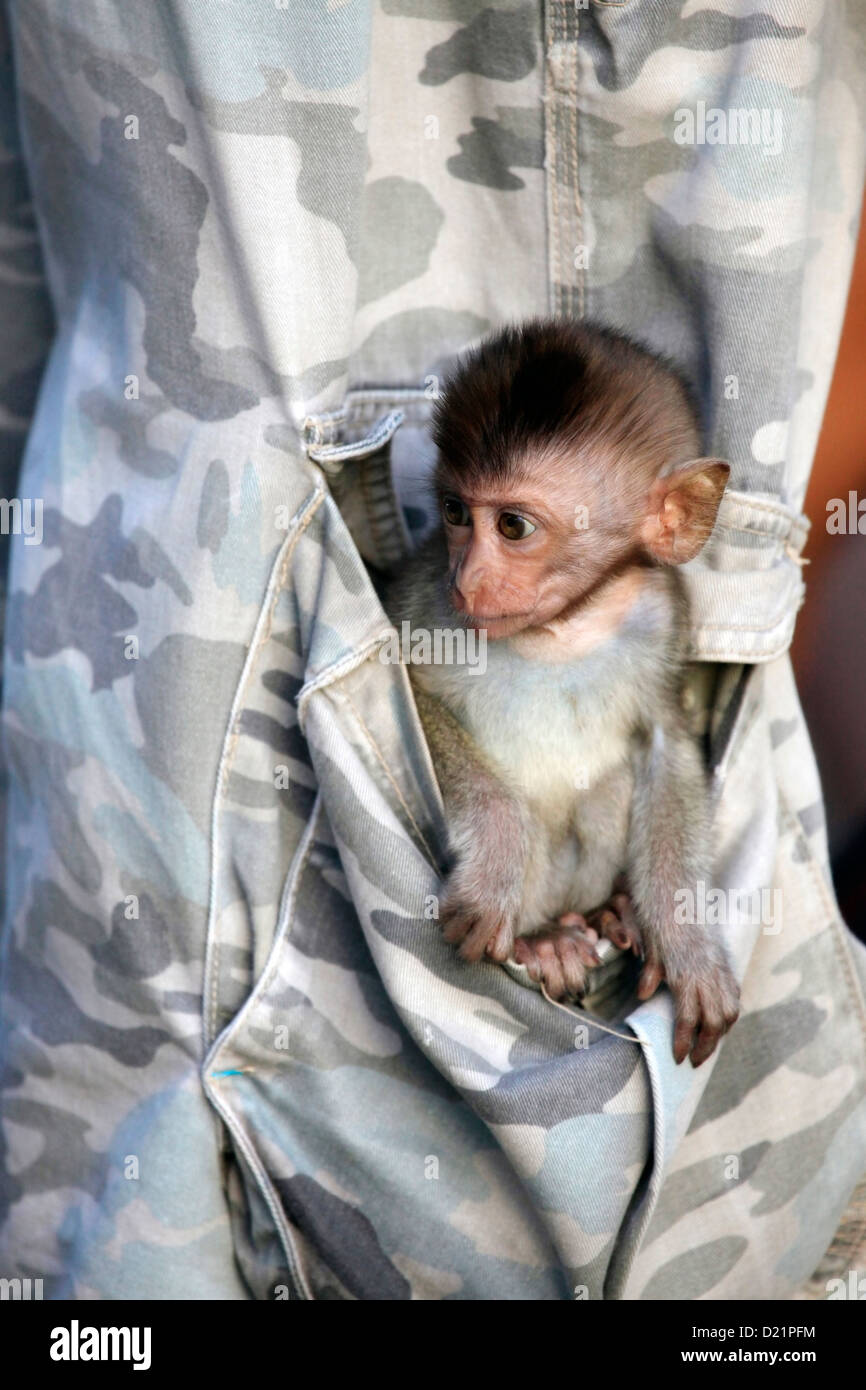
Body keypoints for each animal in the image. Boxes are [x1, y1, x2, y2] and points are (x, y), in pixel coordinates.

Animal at [384, 318, 741, 1067]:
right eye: (455, 512)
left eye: (512, 526)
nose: (469, 579)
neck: (563, 627)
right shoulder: (425, 606)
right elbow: (415, 697)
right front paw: (495, 863)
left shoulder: (661, 616)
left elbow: (666, 742)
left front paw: (688, 945)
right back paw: (541, 939)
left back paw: (614, 913)